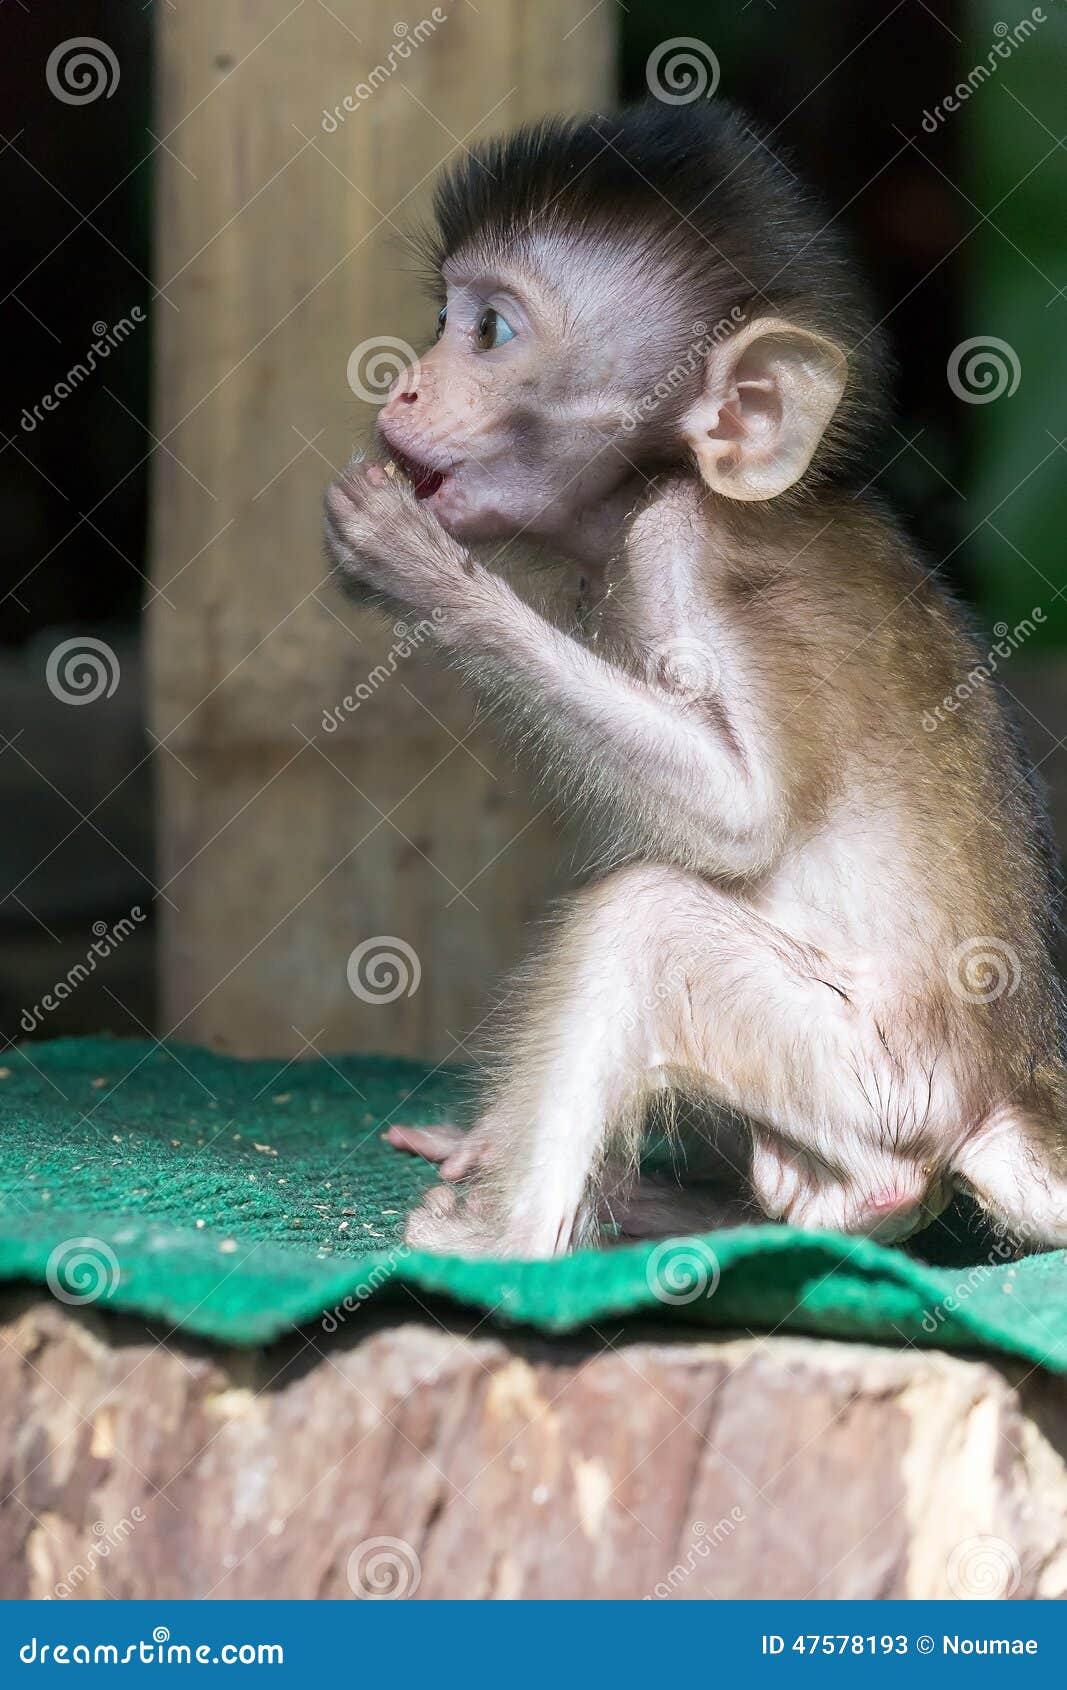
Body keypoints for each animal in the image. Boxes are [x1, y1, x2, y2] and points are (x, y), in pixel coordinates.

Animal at [323, 101, 1067, 1260]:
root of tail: (1004, 1096)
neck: (654, 486)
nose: (403, 382)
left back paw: (507, 1244)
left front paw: (422, 574)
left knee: (647, 919)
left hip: (866, 1079)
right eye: (443, 315)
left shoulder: (676, 539)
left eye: (489, 333)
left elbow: (735, 817)